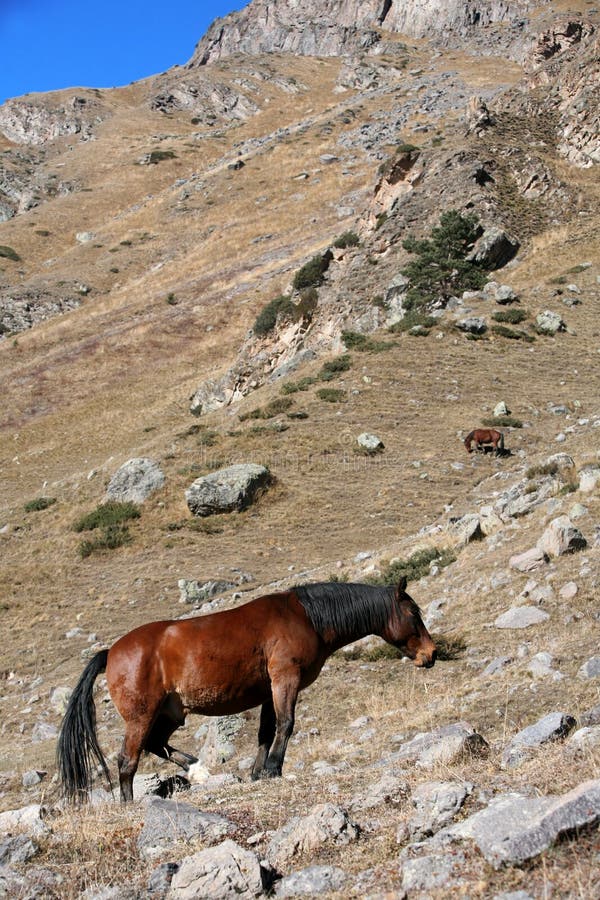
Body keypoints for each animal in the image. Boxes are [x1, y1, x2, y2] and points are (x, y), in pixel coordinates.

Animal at [57, 578, 436, 803]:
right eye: (413, 613)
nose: (431, 654)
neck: (307, 618)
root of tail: (111, 652)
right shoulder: (285, 679)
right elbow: (286, 724)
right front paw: (273, 769)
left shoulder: (269, 691)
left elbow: (266, 732)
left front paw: (258, 773)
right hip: (142, 715)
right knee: (127, 760)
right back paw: (130, 802)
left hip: (168, 713)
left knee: (156, 745)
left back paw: (197, 768)